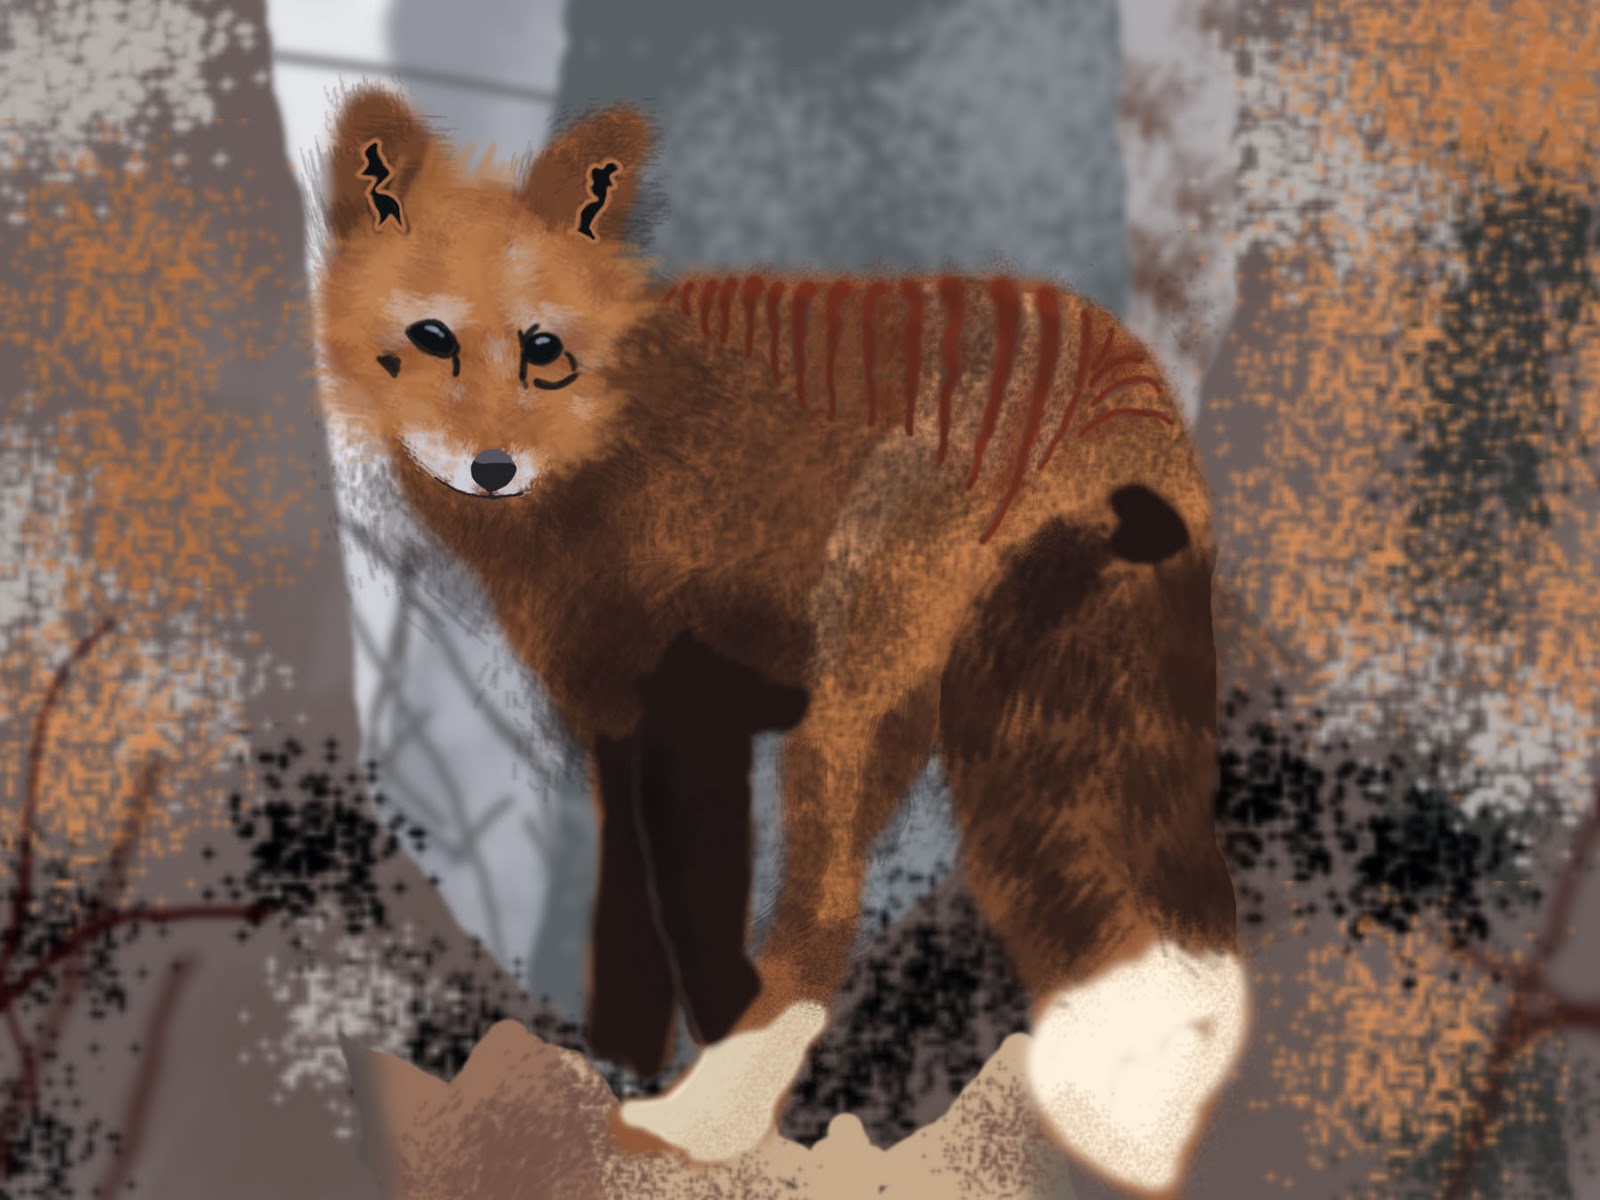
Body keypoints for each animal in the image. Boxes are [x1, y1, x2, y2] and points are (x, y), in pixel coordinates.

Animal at [314, 85, 1250, 1197]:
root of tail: (1123, 381)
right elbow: (627, 932)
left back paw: (707, 1117)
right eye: (430, 336)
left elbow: (697, 923)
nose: (491, 467)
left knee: (822, 919)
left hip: (847, 713)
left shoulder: (687, 711)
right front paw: (620, 1060)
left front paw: (696, 1103)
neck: (612, 435)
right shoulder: (618, 714)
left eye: (542, 348)